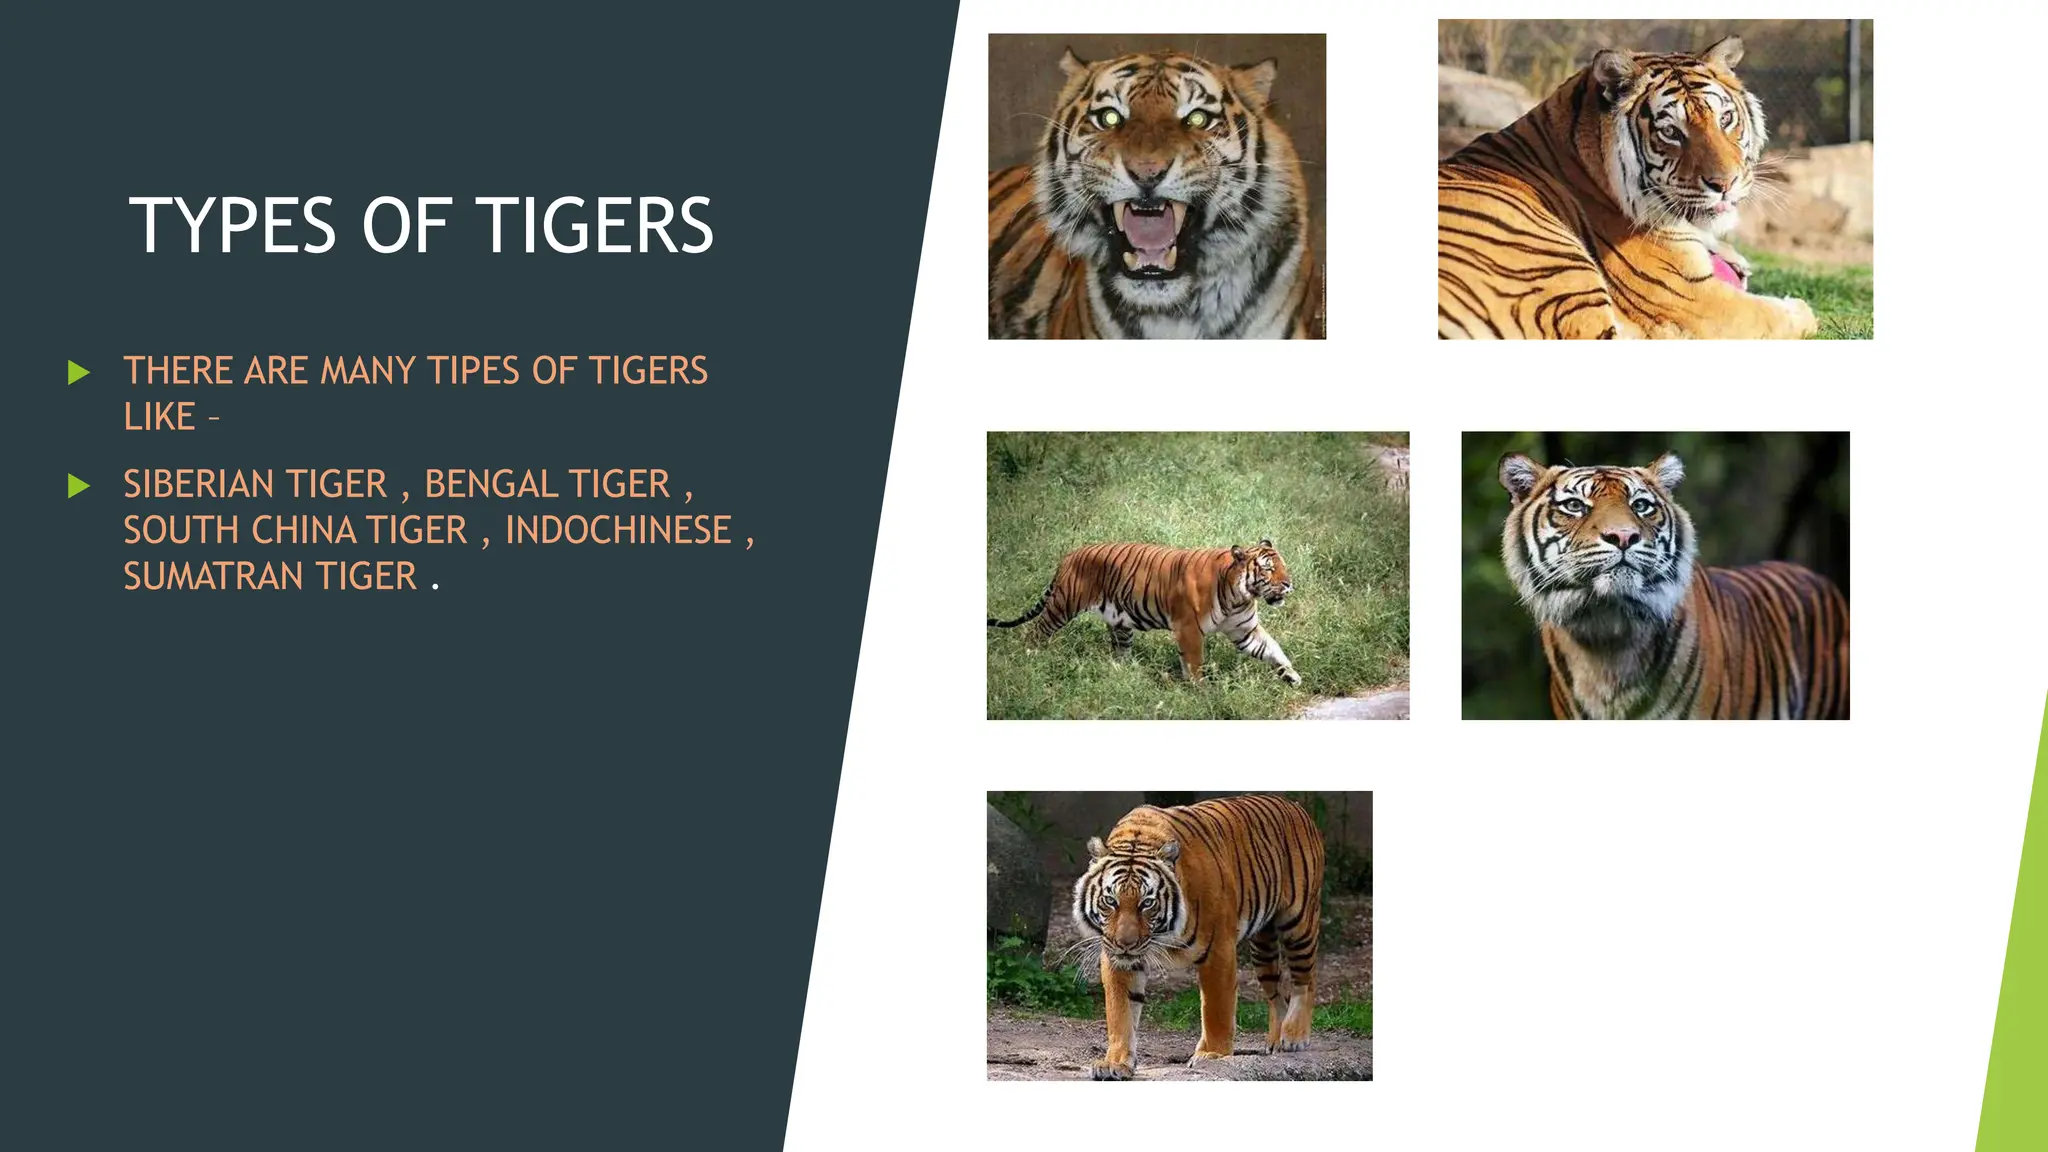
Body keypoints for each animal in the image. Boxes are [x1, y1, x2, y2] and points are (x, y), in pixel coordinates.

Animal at [987, 540, 1299, 684]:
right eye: (1268, 569)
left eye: (1283, 566)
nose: (1288, 584)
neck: (1239, 596)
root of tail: (1070, 554)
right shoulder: (1189, 629)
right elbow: (1195, 663)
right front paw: (1201, 690)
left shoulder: (1244, 630)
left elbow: (1271, 649)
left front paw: (1291, 674)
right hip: (1062, 606)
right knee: (1036, 631)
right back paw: (1030, 659)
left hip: (1120, 622)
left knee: (1119, 651)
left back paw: (1124, 674)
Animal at [1073, 794, 1325, 1080]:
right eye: (1110, 901)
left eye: (1147, 903)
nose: (1125, 943)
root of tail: (1295, 805)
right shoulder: (1118, 958)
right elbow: (1120, 1012)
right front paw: (1115, 1063)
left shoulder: (1218, 949)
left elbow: (1216, 1008)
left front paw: (1212, 1054)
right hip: (1262, 947)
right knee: (1276, 995)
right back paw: (1275, 1042)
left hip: (1299, 923)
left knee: (1306, 979)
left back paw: (1294, 1036)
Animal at [1439, 36, 1817, 339]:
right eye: (1671, 132)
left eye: (1725, 119)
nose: (1724, 184)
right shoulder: (1695, 297)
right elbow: (1794, 315)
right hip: (1557, 263)